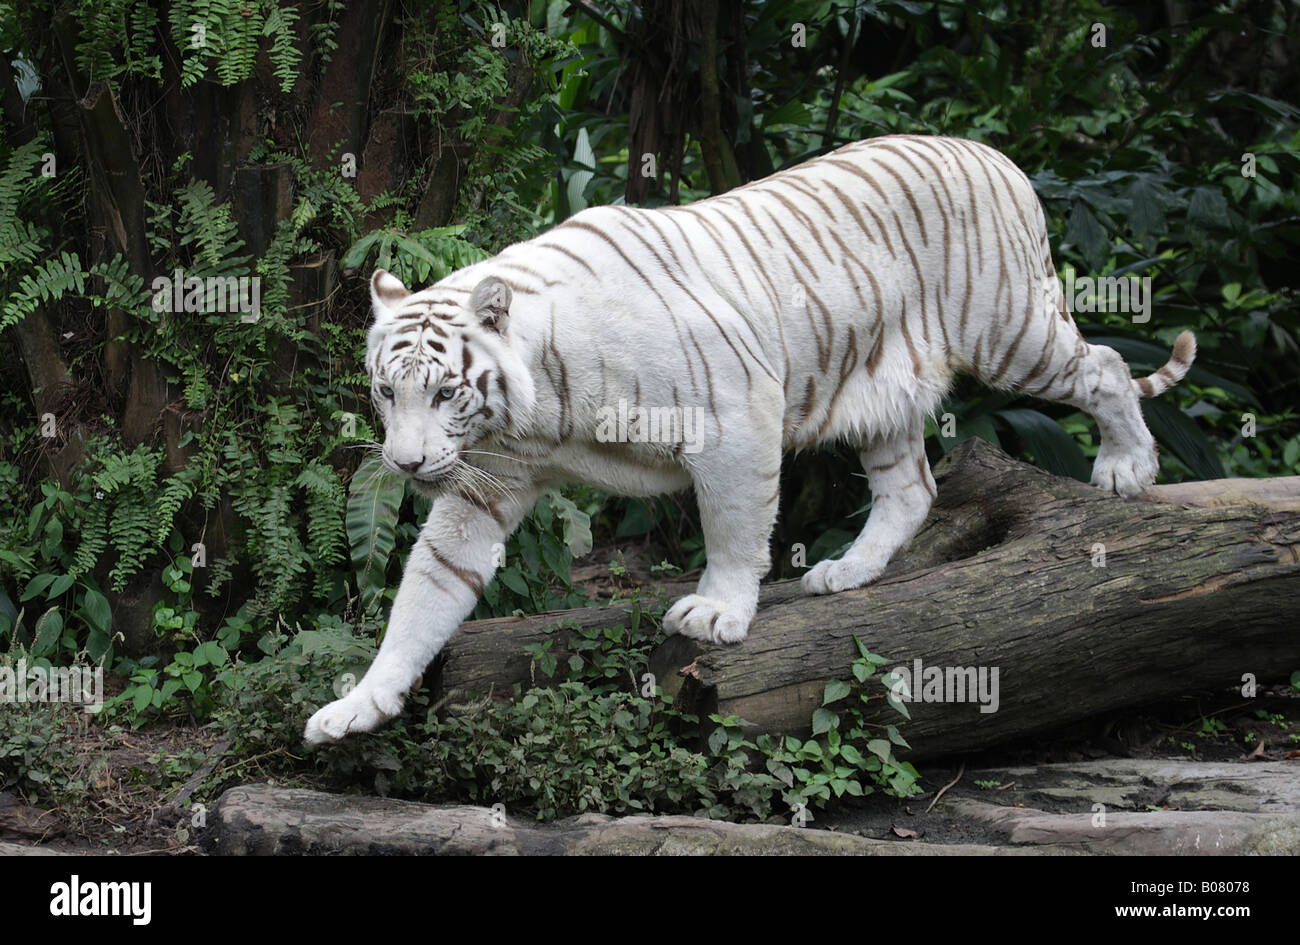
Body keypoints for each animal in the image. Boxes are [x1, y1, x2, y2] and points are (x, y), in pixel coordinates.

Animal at [304, 133, 1195, 745]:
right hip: (886, 392)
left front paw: (717, 613)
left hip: (1011, 330)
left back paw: (1127, 468)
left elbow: (734, 530)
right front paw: (361, 703)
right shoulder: (486, 482)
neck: (533, 408)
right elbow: (427, 591)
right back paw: (845, 571)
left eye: (445, 391)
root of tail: (997, 154)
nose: (406, 462)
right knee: (913, 488)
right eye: (385, 390)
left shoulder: (735, 419)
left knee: (1106, 365)